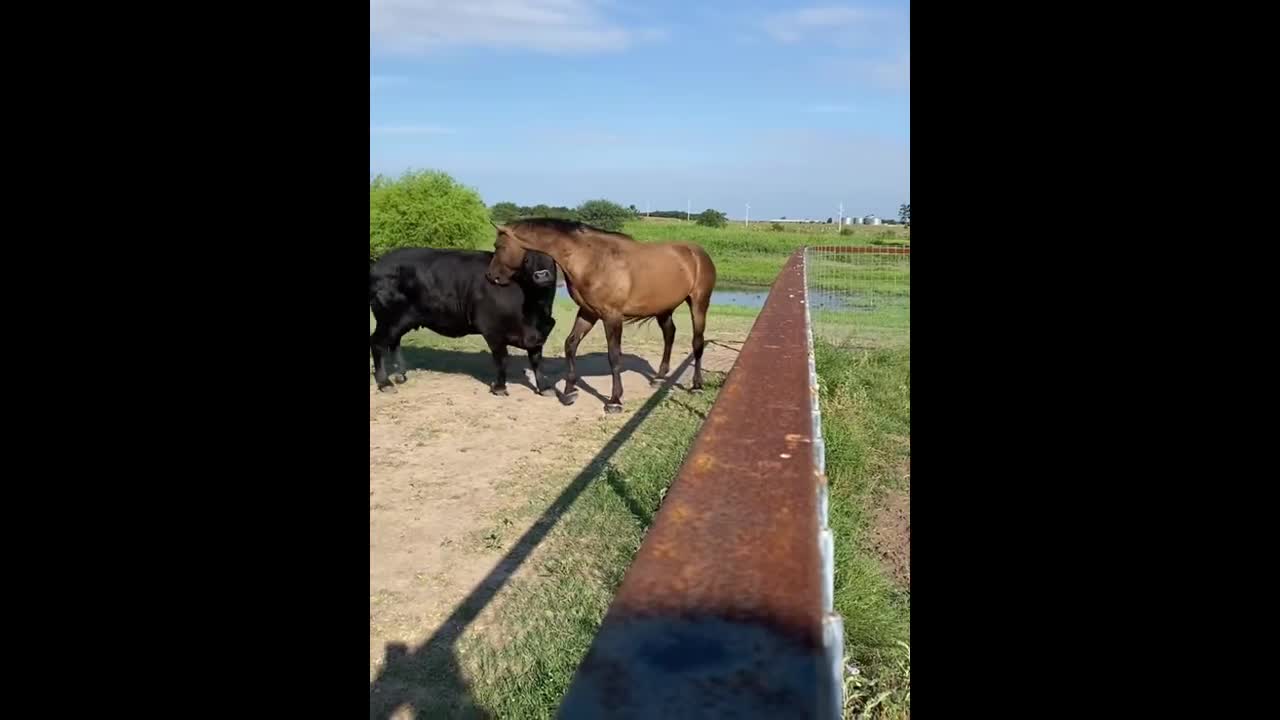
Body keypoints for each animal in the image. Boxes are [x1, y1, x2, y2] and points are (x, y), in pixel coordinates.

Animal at [369, 247, 559, 396]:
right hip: (389, 318)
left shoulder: (538, 334)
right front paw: (499, 388)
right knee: (378, 343)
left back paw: (400, 375)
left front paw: (544, 388)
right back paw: (385, 383)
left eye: (552, 259)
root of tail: (380, 263)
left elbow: (536, 360)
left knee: (394, 342)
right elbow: (502, 359)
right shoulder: (492, 330)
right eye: (526, 260)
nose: (541, 275)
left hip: (400, 321)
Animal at [484, 218, 716, 413]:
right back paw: (659, 378)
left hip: (699, 303)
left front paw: (614, 401)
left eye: (499, 246)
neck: (591, 260)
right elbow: (570, 344)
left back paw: (697, 385)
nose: (490, 276)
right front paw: (569, 392)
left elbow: (614, 356)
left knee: (697, 342)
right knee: (670, 334)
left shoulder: (611, 316)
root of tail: (697, 253)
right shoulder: (588, 312)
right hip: (663, 309)